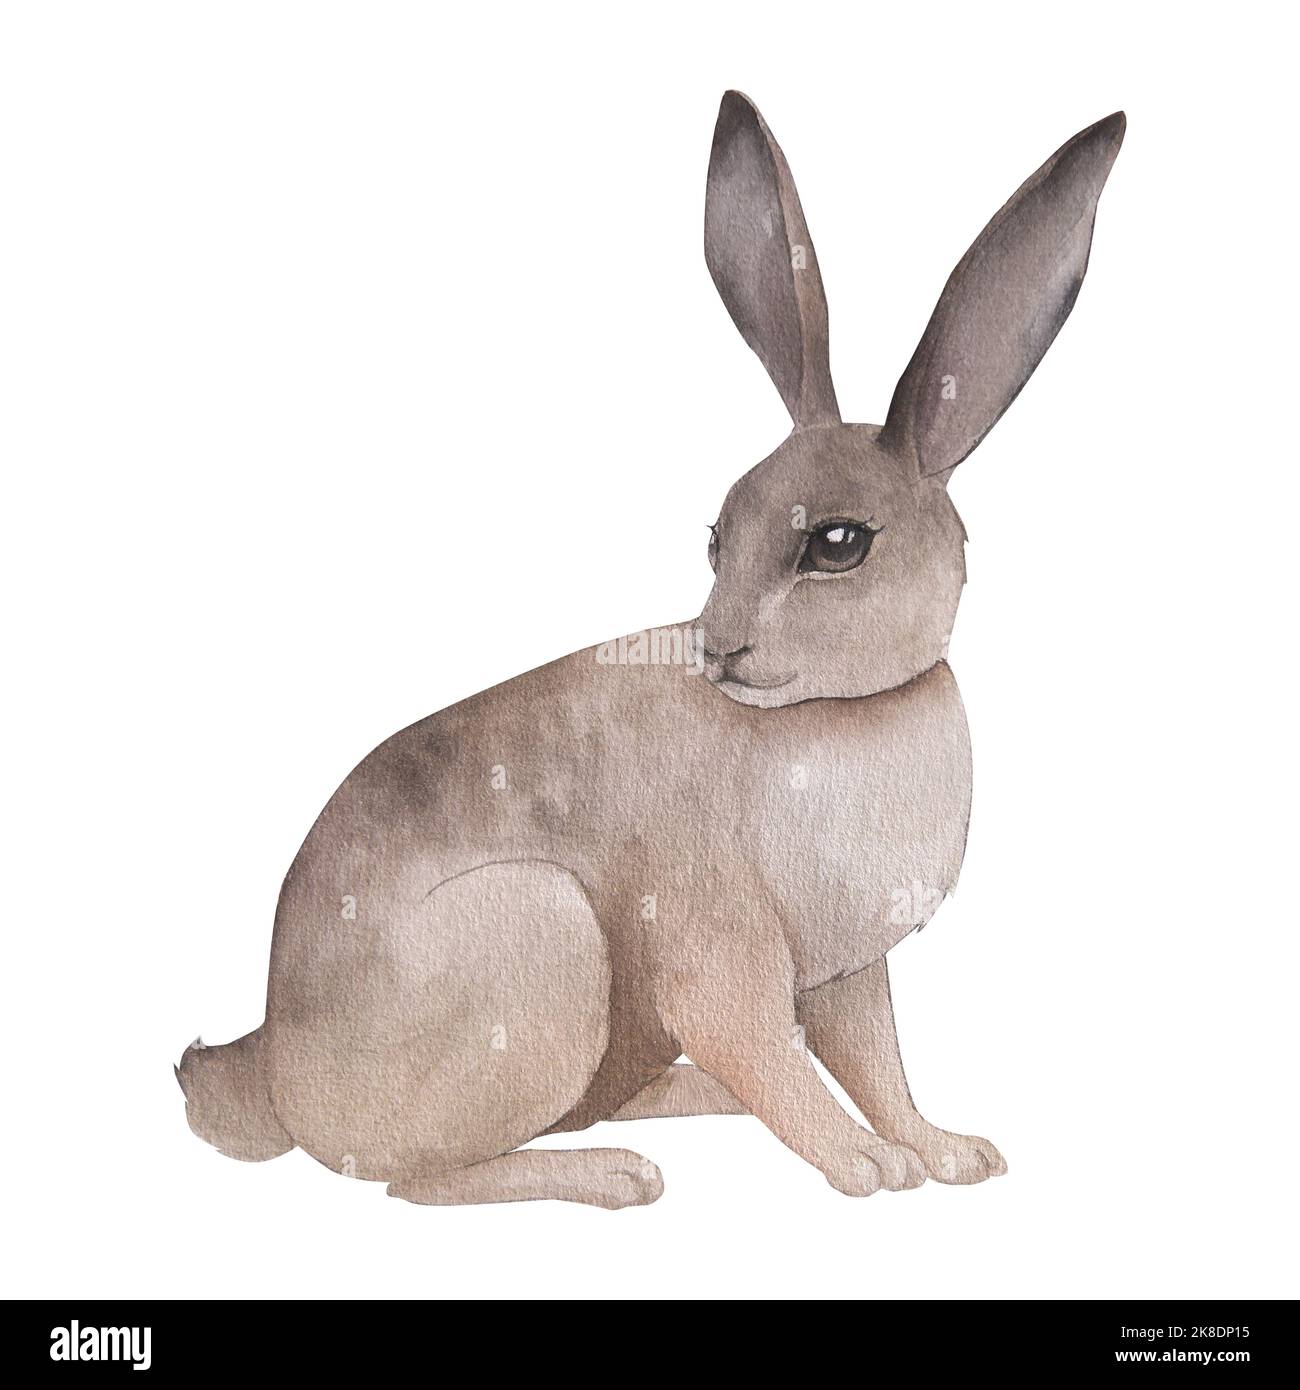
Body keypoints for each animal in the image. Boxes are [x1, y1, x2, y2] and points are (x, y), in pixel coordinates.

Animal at [177, 91, 1124, 1207]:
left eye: (837, 543)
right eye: (717, 535)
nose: (720, 649)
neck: (838, 713)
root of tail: (277, 1076)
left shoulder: (851, 974)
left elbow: (877, 1064)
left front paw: (946, 1153)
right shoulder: (720, 949)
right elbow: (770, 1049)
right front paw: (863, 1164)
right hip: (542, 942)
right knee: (416, 1178)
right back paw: (615, 1175)